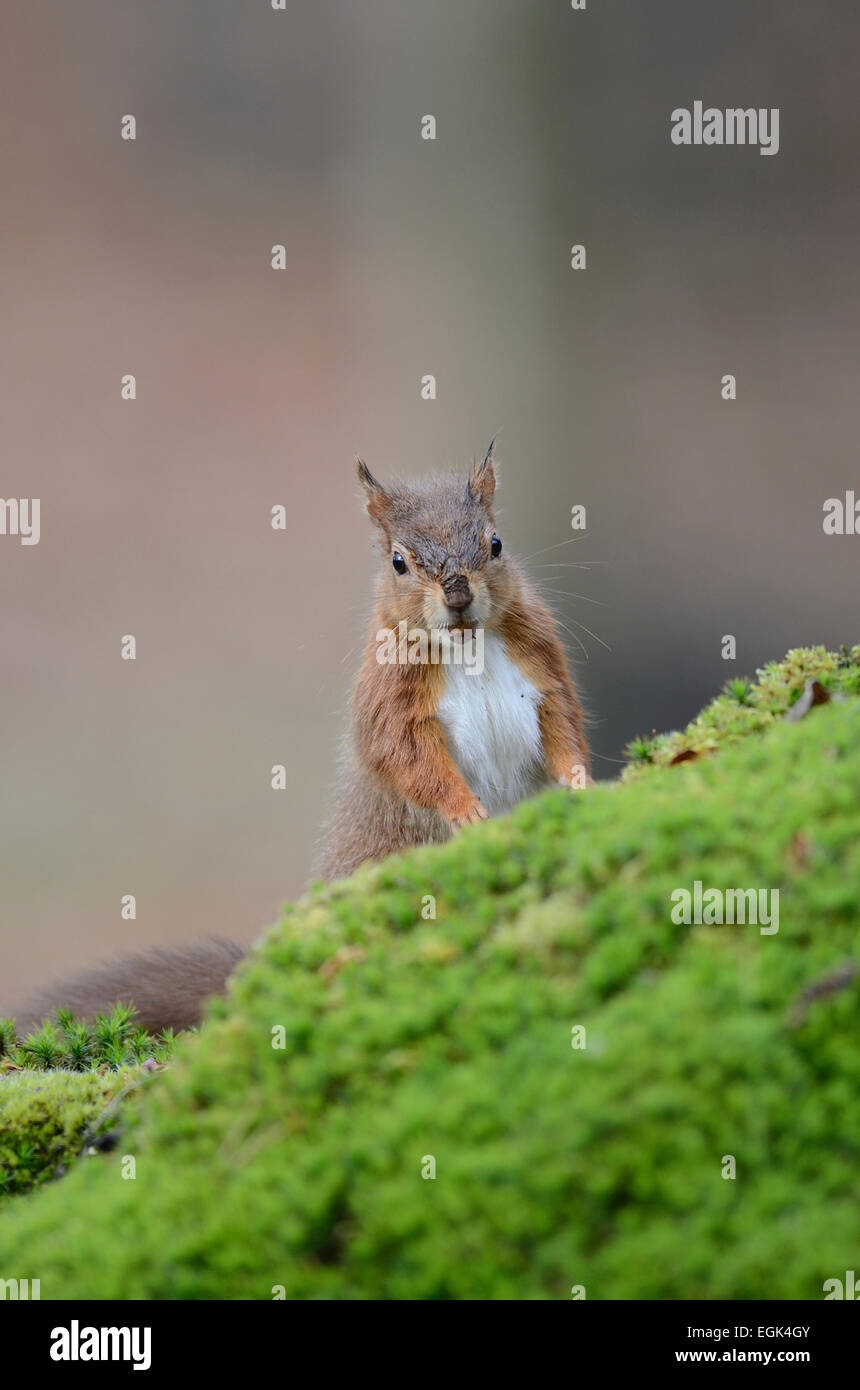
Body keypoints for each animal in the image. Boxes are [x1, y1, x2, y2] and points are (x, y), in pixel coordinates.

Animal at [9, 443, 590, 1035]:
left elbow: (563, 731)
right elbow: (408, 760)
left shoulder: (544, 674)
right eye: (398, 562)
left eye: (496, 544)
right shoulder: (392, 705)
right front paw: (464, 809)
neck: (468, 646)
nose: (457, 594)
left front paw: (580, 781)